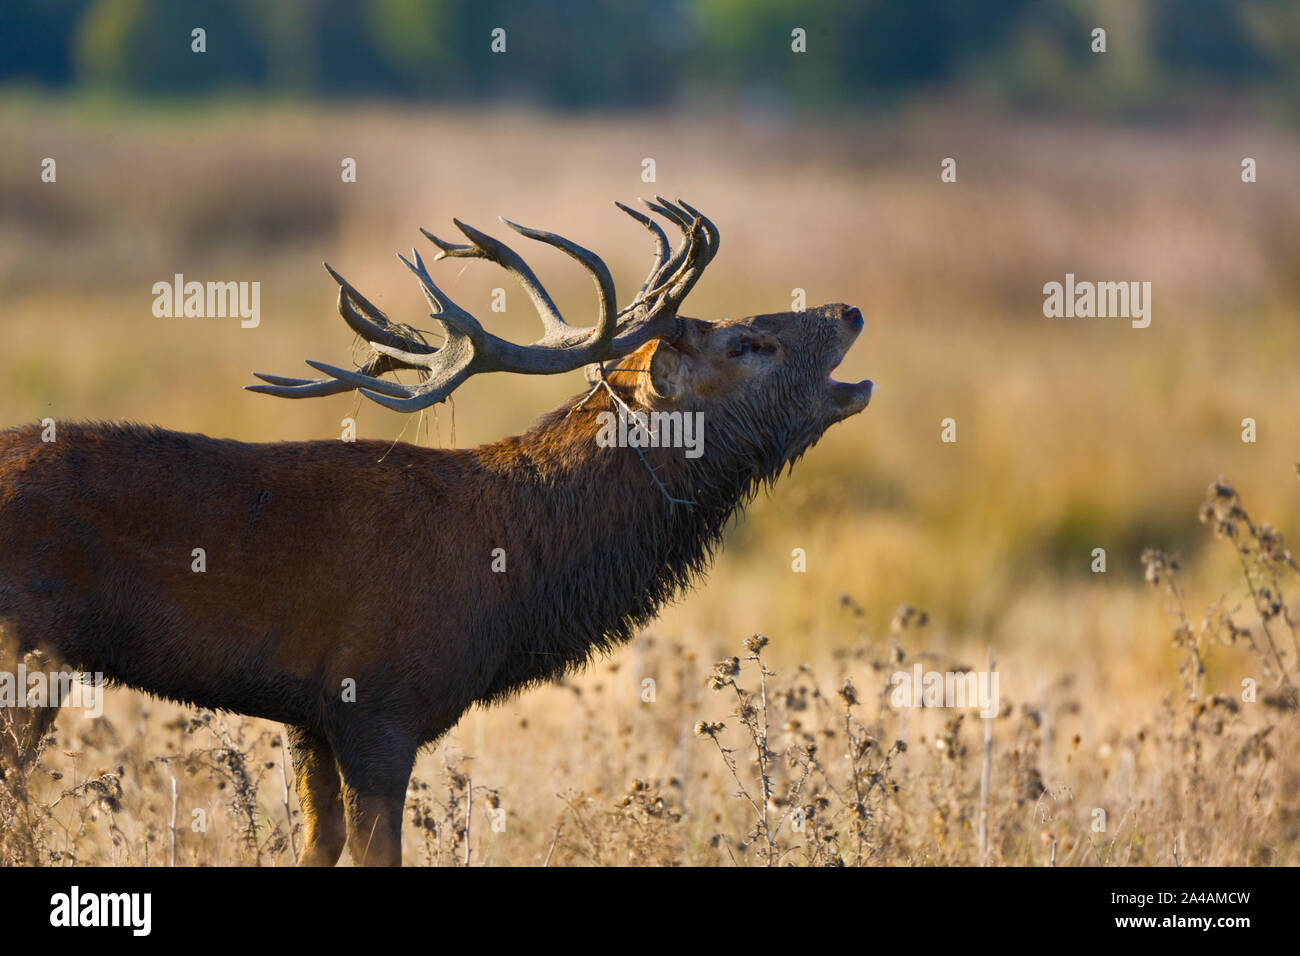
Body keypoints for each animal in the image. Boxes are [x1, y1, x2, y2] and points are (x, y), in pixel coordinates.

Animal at [0, 198, 872, 866]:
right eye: (747, 343)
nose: (849, 309)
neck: (514, 575)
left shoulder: (309, 718)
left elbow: (314, 847)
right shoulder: (381, 701)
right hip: (26, 654)